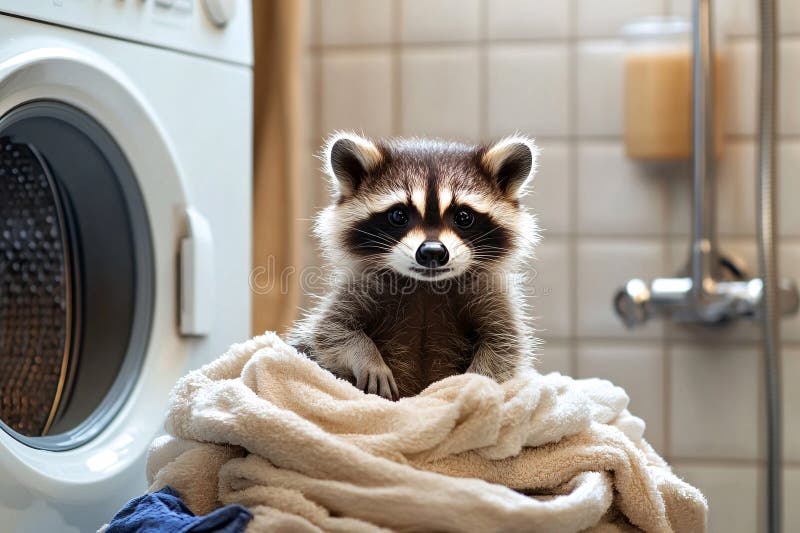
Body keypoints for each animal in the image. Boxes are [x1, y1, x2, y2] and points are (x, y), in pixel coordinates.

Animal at [286, 132, 540, 400]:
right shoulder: (361, 286)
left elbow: (503, 346)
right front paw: (367, 358)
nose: (432, 252)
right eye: (399, 215)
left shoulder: (491, 297)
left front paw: (475, 379)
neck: (426, 285)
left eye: (463, 217)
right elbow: (332, 331)